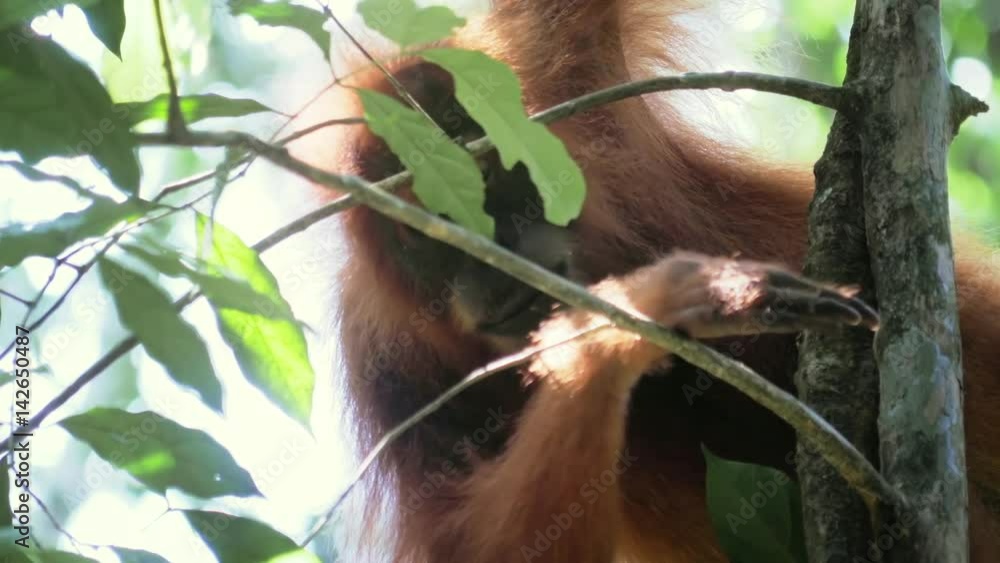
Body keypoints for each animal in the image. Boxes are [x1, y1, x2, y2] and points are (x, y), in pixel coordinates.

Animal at [297, 1, 1000, 561]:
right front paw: (652, 308)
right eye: (428, 230)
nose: (491, 258)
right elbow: (481, 548)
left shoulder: (563, 66)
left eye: (492, 183)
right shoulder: (385, 366)